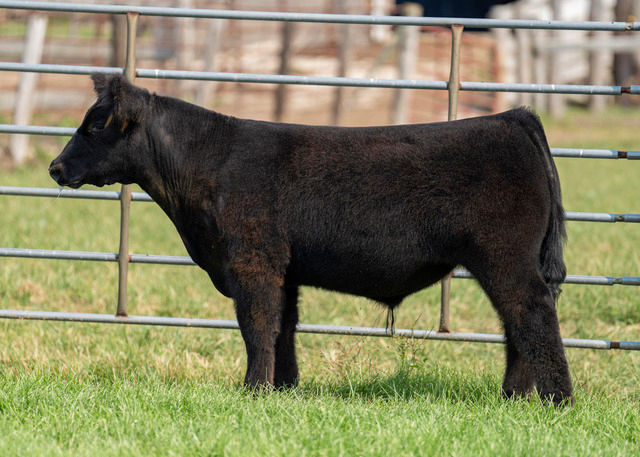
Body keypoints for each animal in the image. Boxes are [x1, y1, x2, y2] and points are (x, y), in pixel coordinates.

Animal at [49, 74, 573, 404]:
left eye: (94, 126)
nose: (55, 167)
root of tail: (512, 117)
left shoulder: (252, 261)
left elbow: (257, 325)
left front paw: (252, 391)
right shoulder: (284, 270)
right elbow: (284, 327)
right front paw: (283, 389)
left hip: (505, 257)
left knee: (532, 315)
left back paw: (557, 401)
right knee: (516, 325)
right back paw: (512, 398)